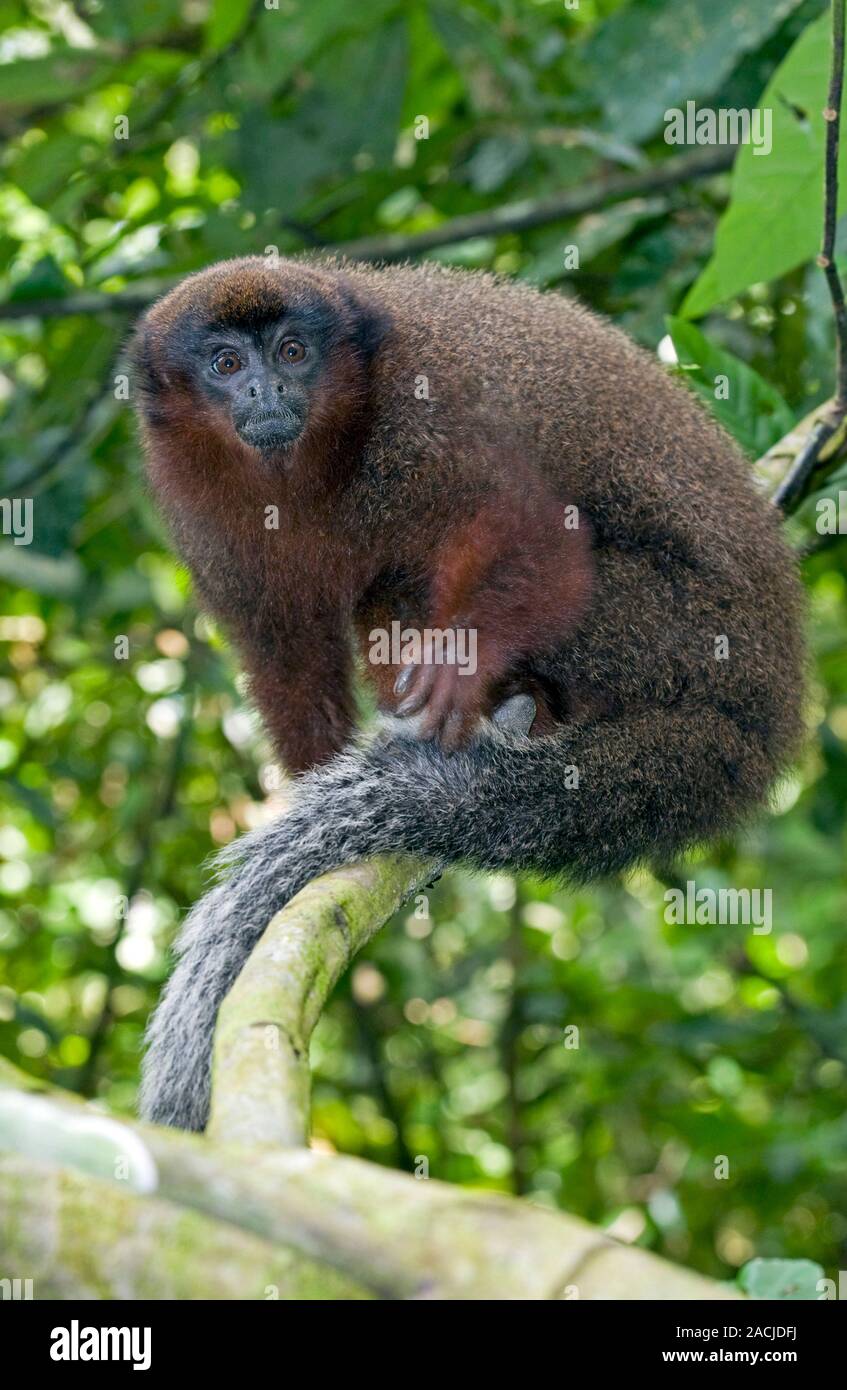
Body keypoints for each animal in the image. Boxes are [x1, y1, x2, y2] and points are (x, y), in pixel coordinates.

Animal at [129, 255, 806, 1133]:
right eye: (224, 364)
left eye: (290, 353)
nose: (264, 391)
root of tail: (762, 720)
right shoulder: (203, 518)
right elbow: (286, 651)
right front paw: (320, 774)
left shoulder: (425, 412)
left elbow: (538, 530)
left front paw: (458, 668)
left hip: (686, 635)